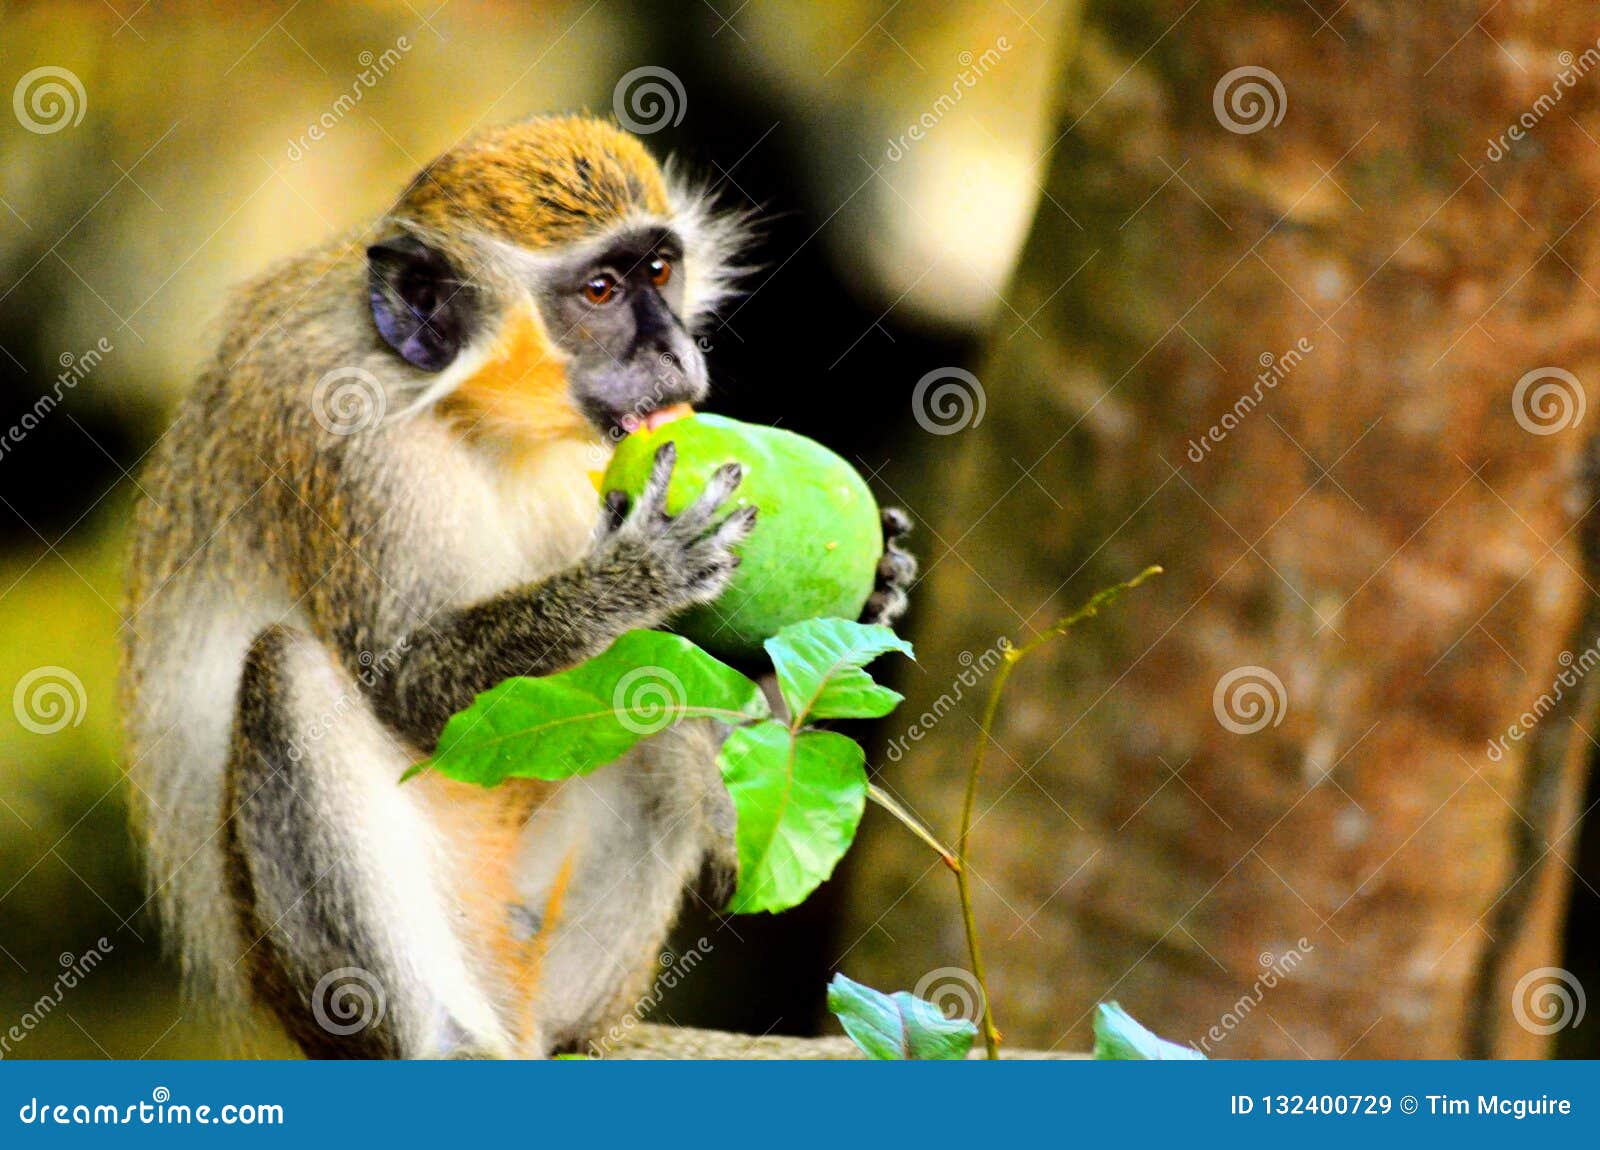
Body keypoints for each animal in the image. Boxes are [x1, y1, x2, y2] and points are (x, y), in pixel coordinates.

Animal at [121, 115, 917, 1059]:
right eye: (600, 292)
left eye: (660, 271)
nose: (676, 352)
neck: (474, 417)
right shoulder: (339, 428)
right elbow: (401, 686)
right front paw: (631, 577)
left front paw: (875, 593)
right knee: (289, 672)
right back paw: (448, 1045)